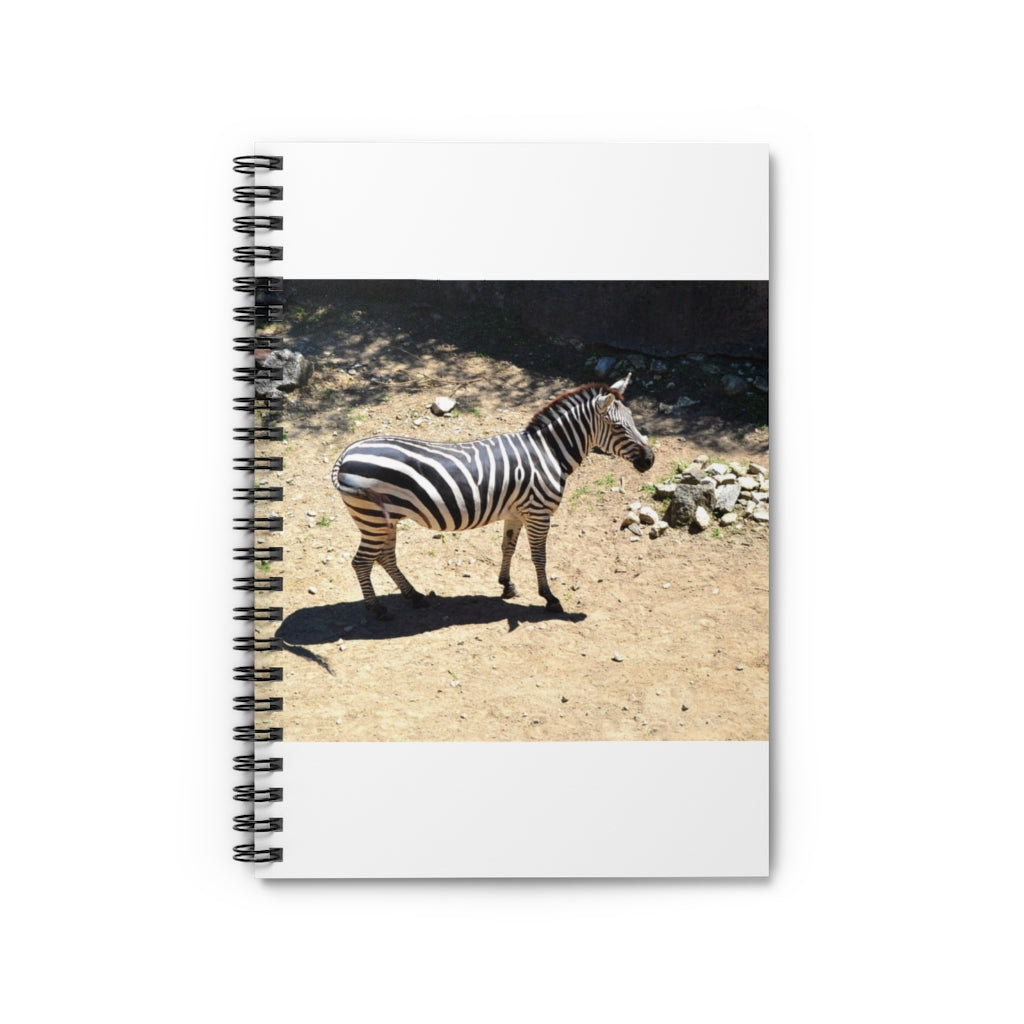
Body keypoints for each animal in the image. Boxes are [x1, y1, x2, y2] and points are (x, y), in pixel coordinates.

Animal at [331, 374, 654, 619]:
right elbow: (539, 556)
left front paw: (506, 584)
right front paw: (549, 597)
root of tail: (346, 454)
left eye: (633, 420)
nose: (650, 460)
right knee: (362, 562)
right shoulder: (538, 512)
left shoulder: (517, 512)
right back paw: (377, 609)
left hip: (386, 518)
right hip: (373, 518)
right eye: (618, 426)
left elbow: (507, 547)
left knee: (384, 557)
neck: (549, 453)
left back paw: (415, 596)